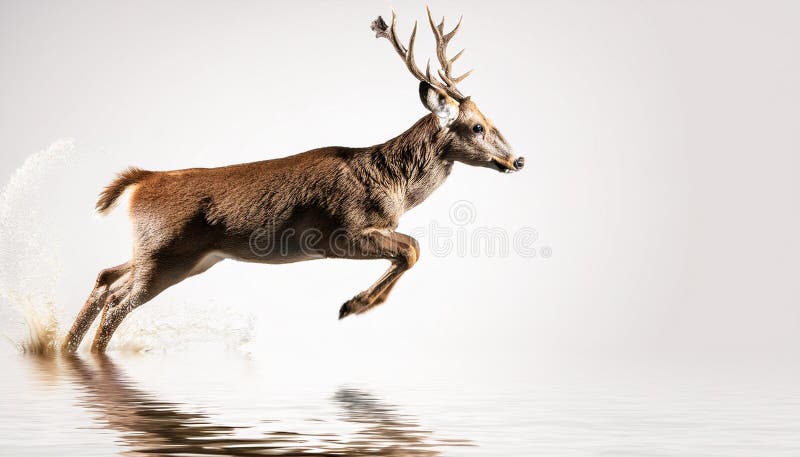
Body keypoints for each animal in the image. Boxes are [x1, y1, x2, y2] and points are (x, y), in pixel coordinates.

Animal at [62, 7, 524, 353]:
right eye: (478, 127)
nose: (517, 159)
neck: (392, 182)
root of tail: (143, 180)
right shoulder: (339, 233)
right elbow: (412, 248)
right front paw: (353, 305)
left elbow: (410, 249)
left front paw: (357, 303)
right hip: (164, 254)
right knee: (117, 304)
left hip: (181, 256)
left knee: (105, 277)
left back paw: (63, 349)